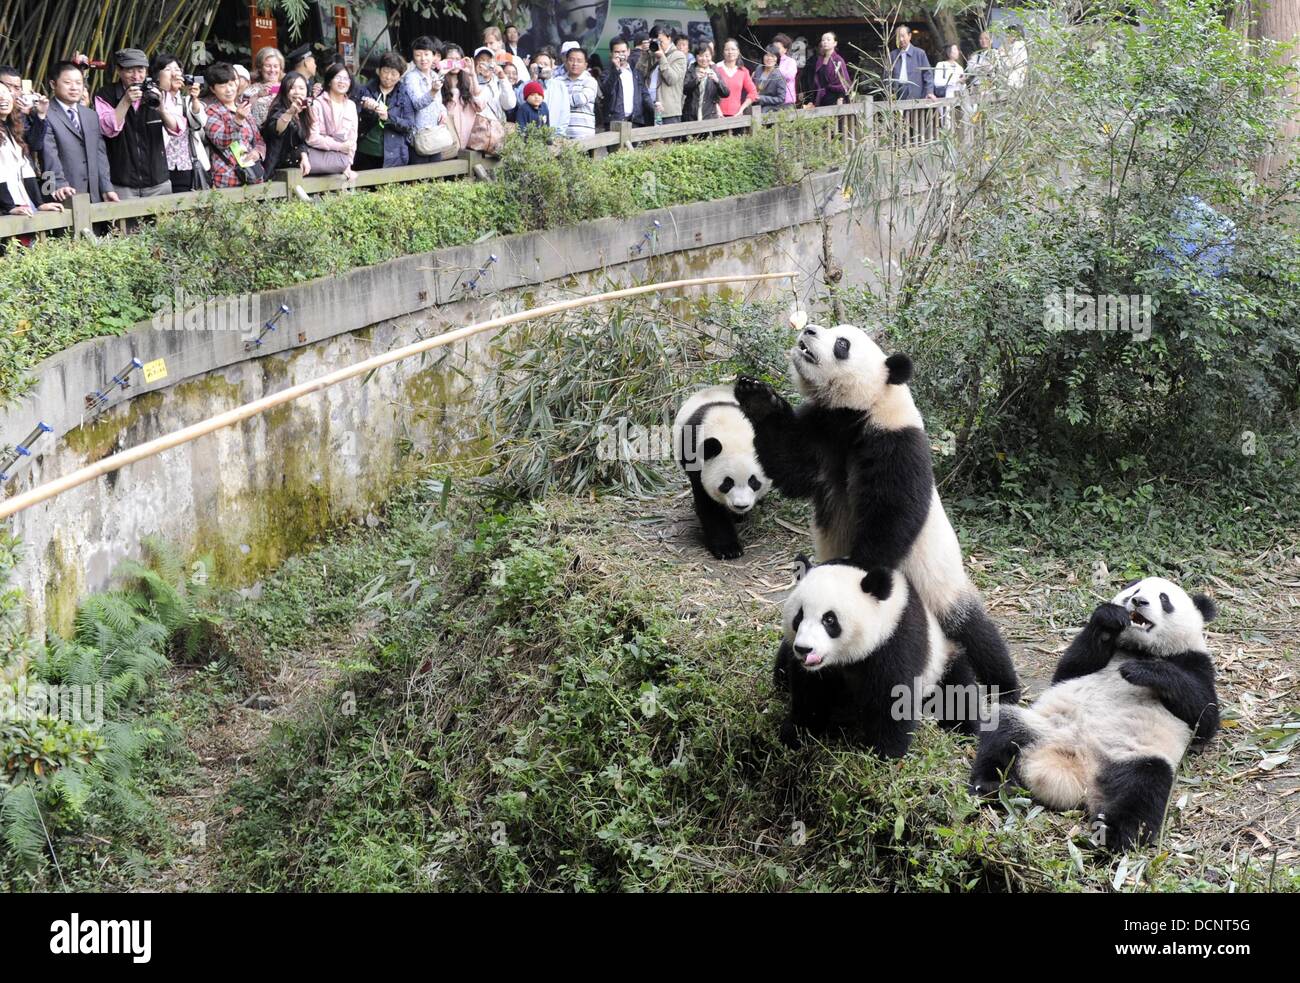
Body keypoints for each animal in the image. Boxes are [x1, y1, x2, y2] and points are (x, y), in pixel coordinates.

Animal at [673, 384, 770, 560]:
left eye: (754, 481)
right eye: (727, 483)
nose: (741, 505)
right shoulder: (696, 460)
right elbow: (709, 505)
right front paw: (728, 549)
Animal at [734, 312, 1021, 703]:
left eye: (842, 344)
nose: (808, 329)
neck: (855, 412)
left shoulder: (895, 442)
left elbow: (893, 516)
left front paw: (856, 566)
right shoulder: (821, 436)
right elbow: (790, 467)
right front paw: (756, 396)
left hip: (940, 589)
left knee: (973, 631)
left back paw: (1005, 686)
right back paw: (783, 676)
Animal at [774, 555, 980, 757]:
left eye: (829, 619)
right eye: (799, 616)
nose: (804, 649)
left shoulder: (896, 640)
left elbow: (893, 697)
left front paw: (883, 752)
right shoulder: (813, 669)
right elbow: (811, 693)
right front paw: (796, 734)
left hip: (941, 661)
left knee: (957, 692)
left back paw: (964, 730)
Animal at [969, 576, 1220, 851]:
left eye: (1164, 599)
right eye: (1135, 590)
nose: (1138, 602)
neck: (1141, 649)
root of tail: (1076, 769)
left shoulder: (1194, 661)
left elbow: (1204, 715)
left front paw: (1141, 670)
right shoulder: (1089, 662)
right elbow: (1070, 669)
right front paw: (1109, 618)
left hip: (1131, 757)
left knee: (1144, 788)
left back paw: (1113, 834)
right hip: (1039, 726)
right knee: (1003, 729)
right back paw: (993, 784)